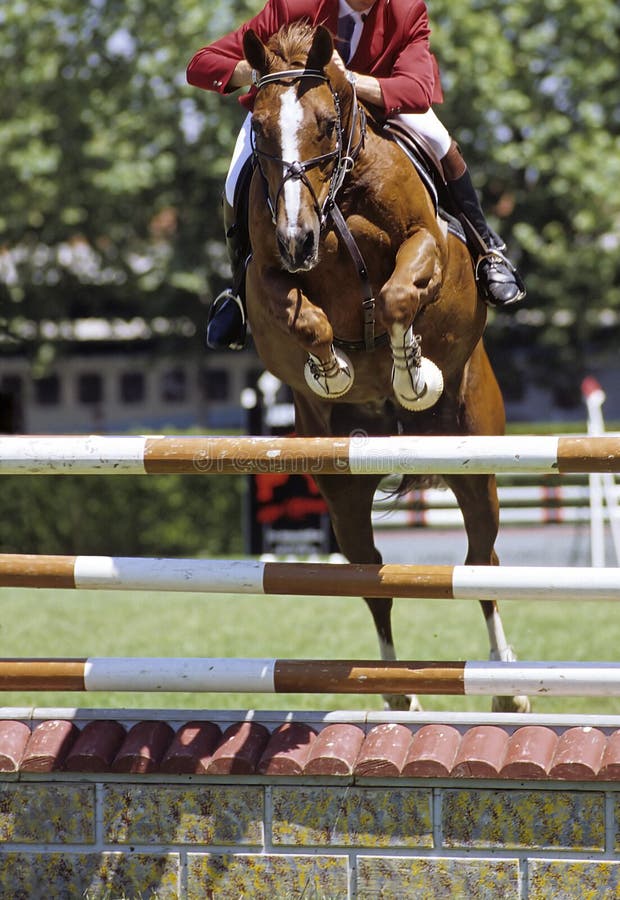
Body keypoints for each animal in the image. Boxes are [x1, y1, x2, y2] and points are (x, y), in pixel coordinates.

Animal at [242, 22, 529, 713]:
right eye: (258, 128)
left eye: (326, 123)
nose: (297, 239)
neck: (337, 195)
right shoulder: (268, 276)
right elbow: (304, 317)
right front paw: (334, 372)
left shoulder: (425, 241)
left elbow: (399, 293)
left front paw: (411, 375)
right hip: (343, 490)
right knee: (370, 576)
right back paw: (397, 695)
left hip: (476, 461)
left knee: (481, 559)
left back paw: (506, 687)